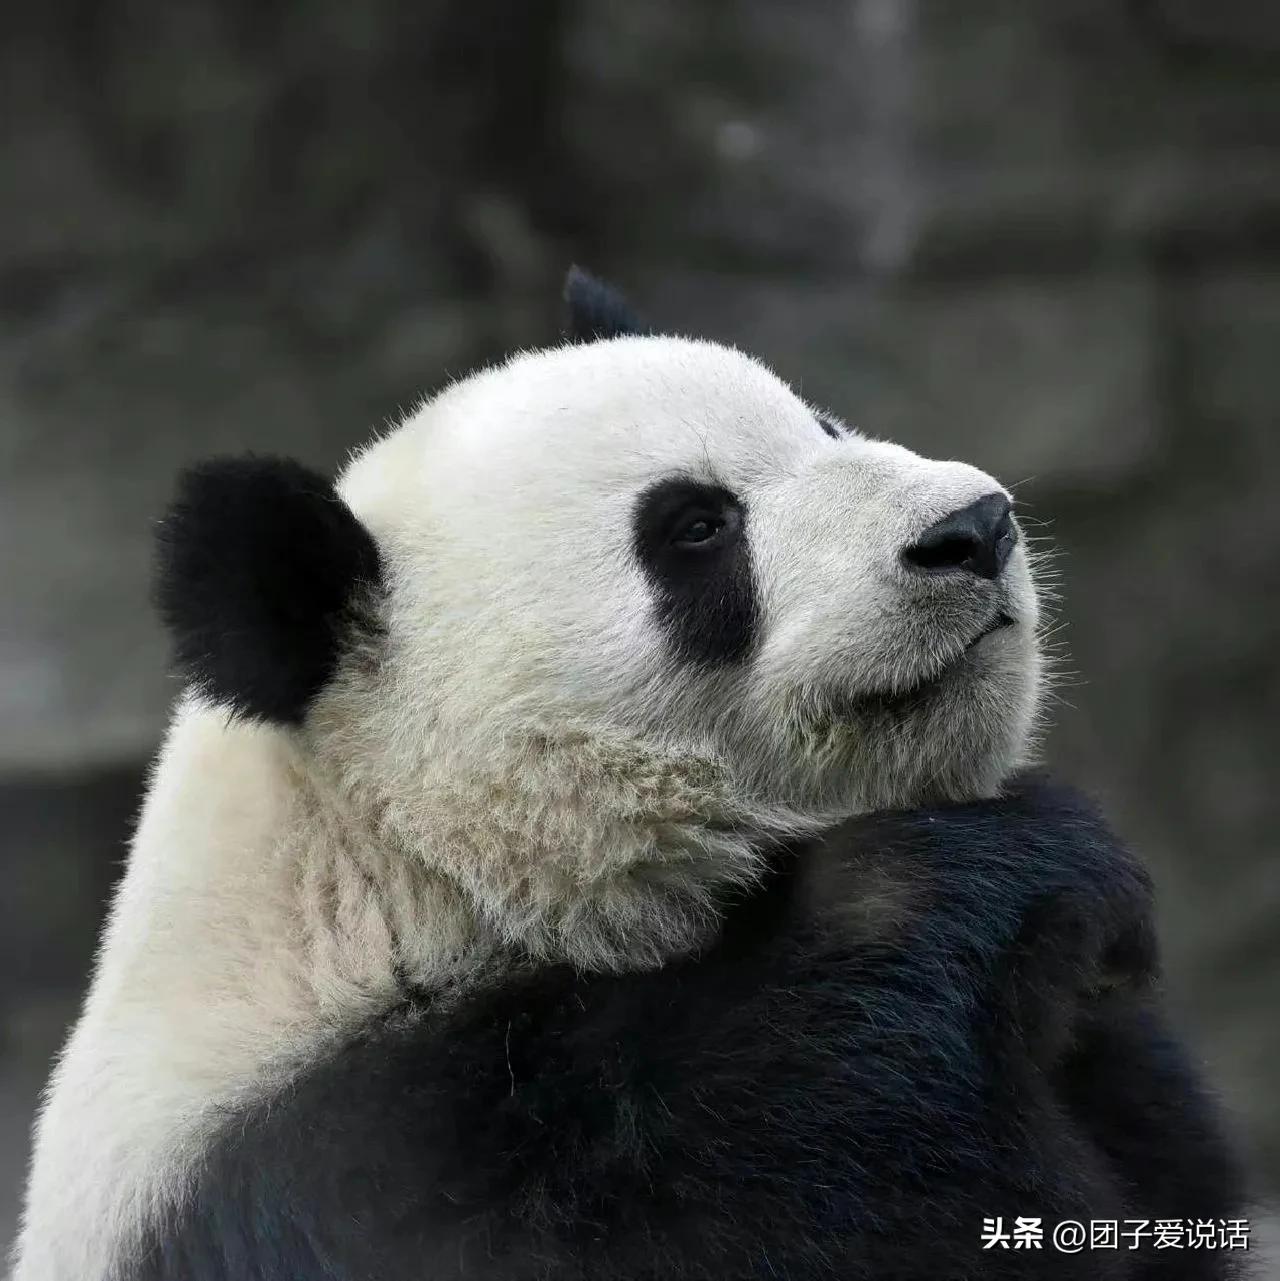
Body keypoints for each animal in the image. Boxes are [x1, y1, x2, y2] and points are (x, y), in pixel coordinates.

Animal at [11, 270, 1246, 1280]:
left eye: (823, 424)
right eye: (695, 529)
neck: (397, 876)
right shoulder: (388, 1166)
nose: (972, 528)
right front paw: (989, 878)